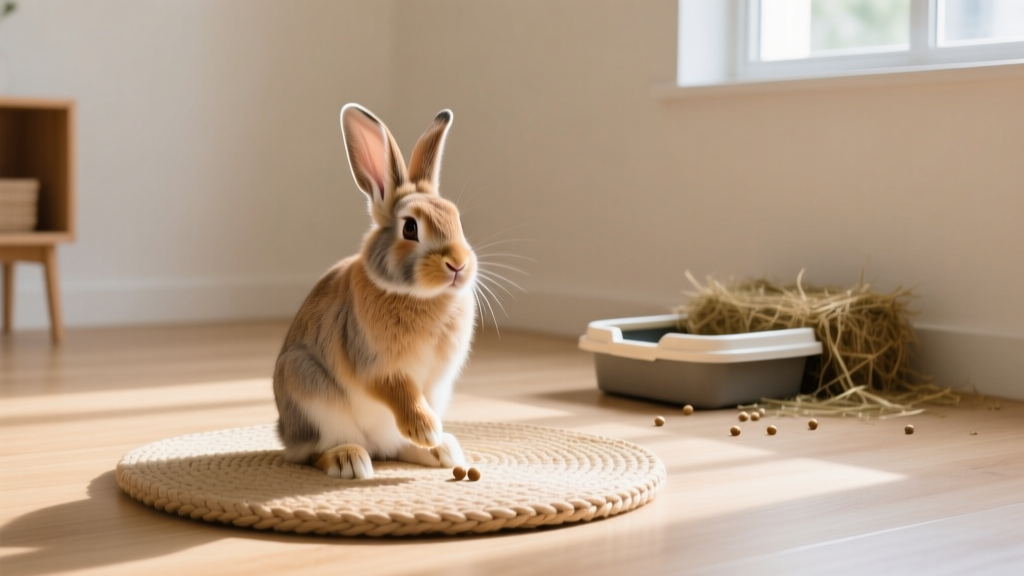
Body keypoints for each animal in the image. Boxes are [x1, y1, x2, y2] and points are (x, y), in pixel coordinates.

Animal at [273, 103, 476, 479]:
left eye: (457, 220)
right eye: (410, 228)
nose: (457, 265)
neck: (420, 296)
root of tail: (285, 432)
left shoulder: (434, 382)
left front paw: (431, 436)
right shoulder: (374, 362)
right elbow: (399, 392)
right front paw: (425, 429)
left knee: (394, 448)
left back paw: (443, 449)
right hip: (308, 391)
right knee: (311, 453)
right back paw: (350, 460)